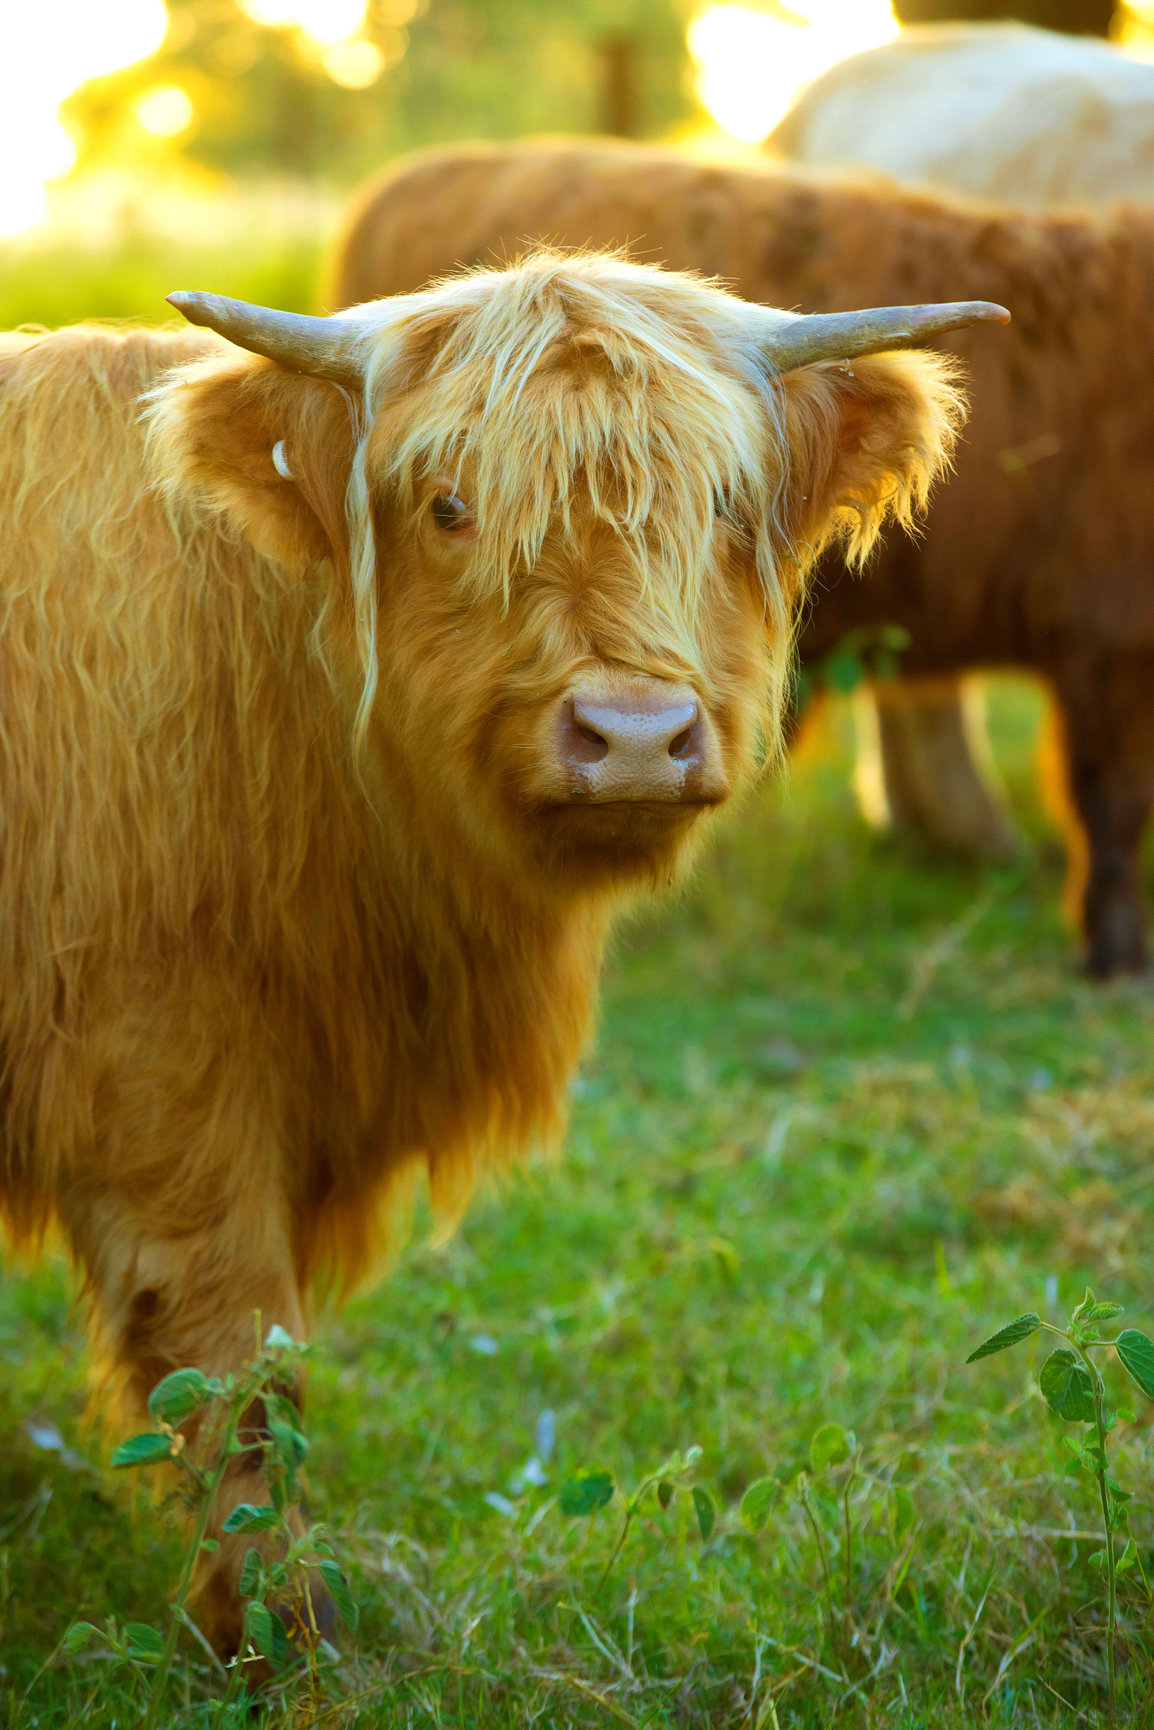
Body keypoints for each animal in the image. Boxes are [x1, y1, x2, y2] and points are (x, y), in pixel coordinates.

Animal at [0, 251, 992, 1652]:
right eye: (449, 505)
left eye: (723, 500)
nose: (632, 735)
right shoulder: (155, 1076)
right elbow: (239, 1369)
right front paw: (285, 1632)